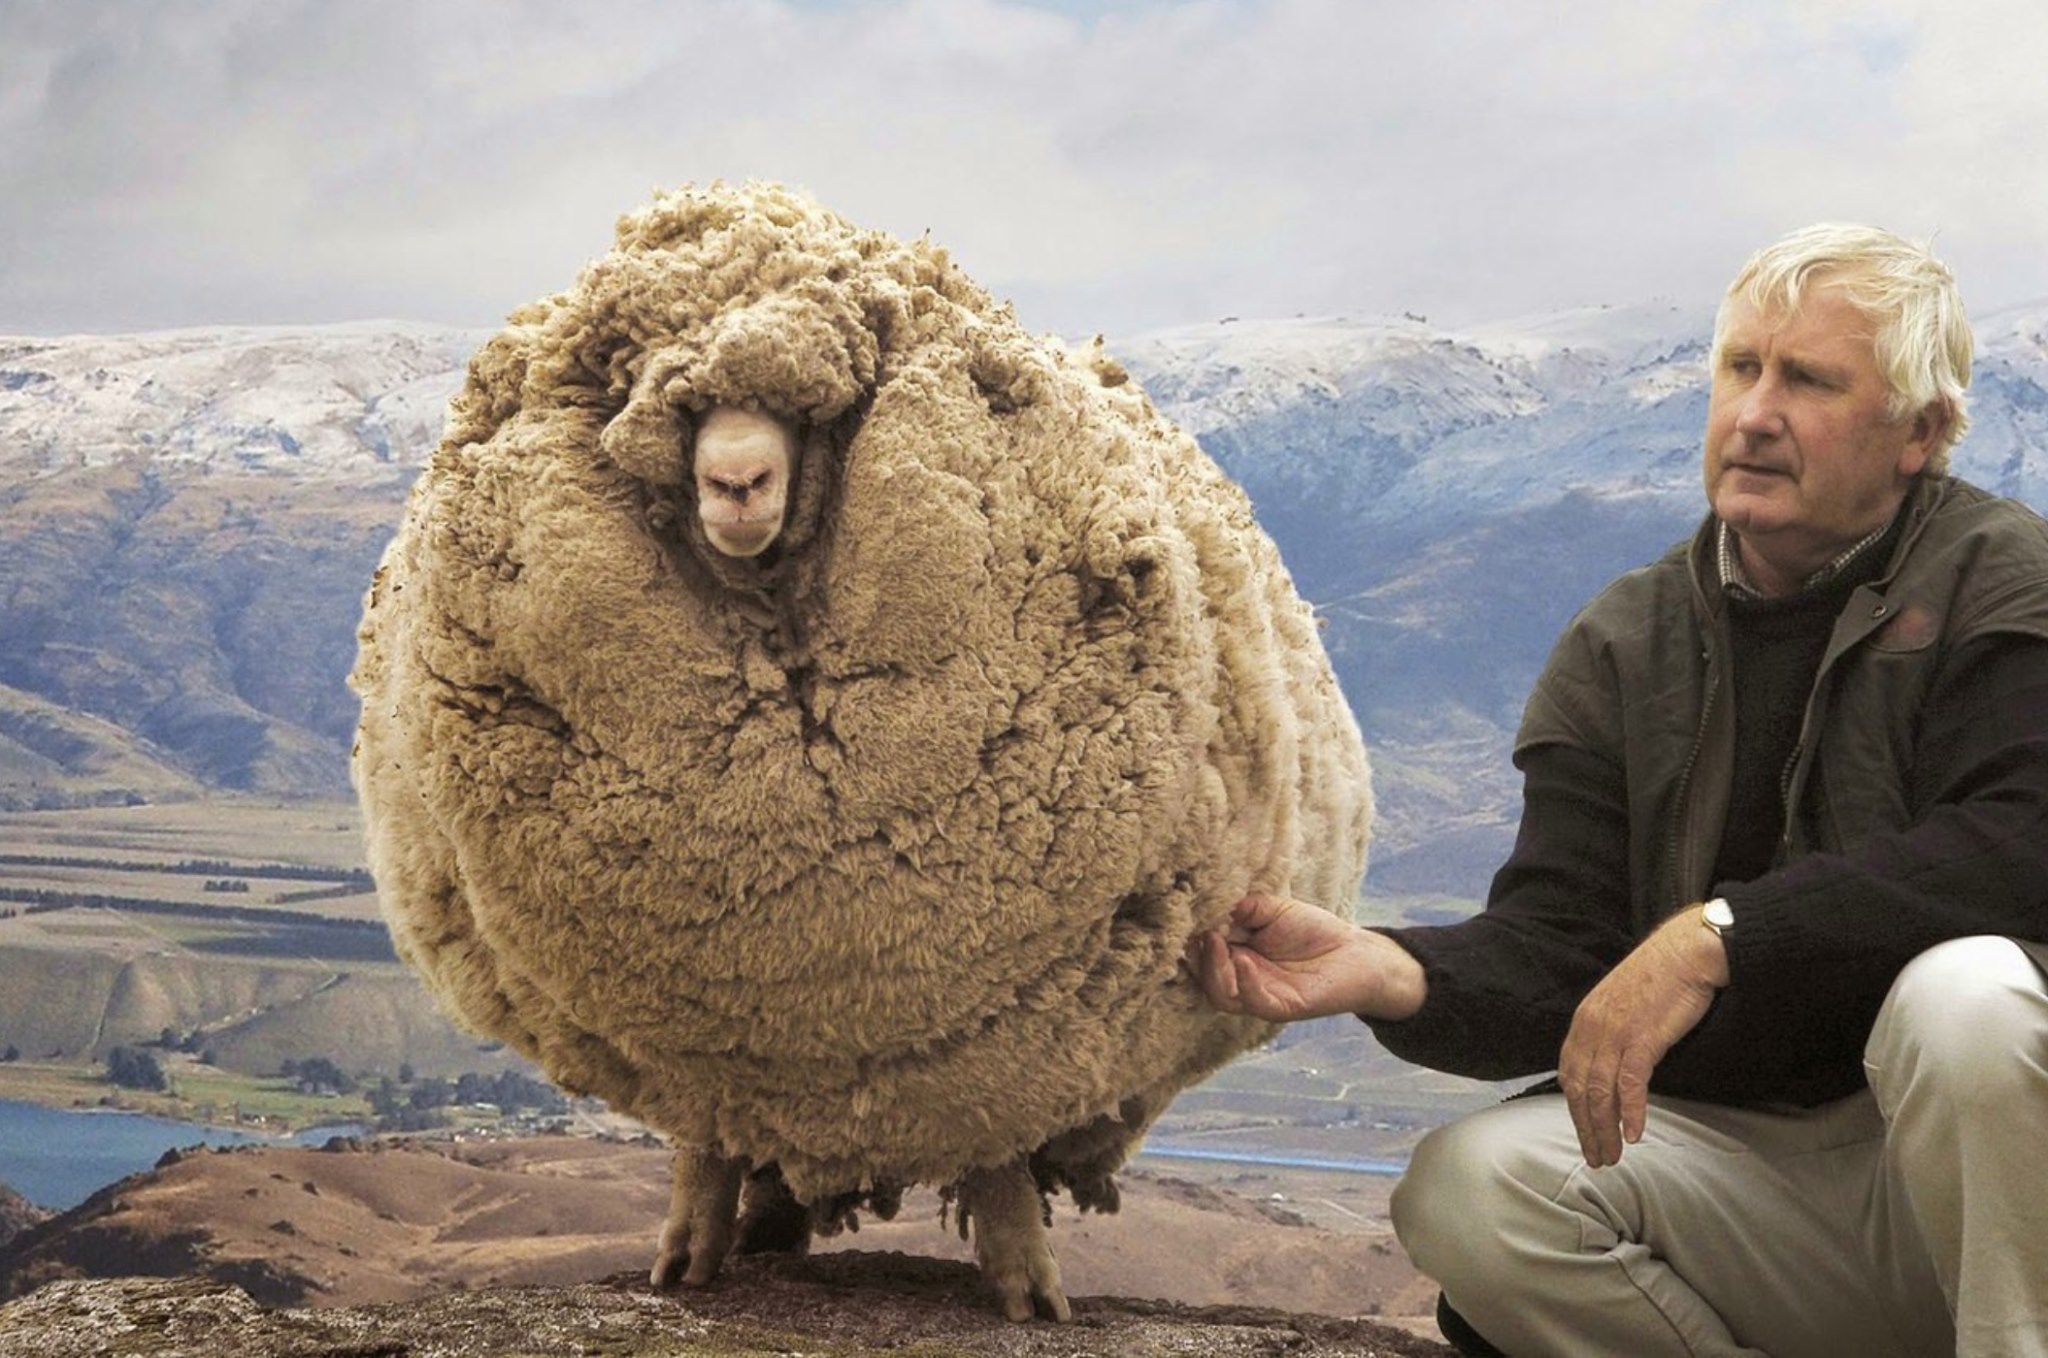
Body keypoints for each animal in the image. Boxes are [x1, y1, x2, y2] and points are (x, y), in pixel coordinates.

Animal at [349, 180, 1372, 1323]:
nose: (737, 481)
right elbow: (703, 1140)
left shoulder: (1021, 1029)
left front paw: (1024, 1280)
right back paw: (757, 1225)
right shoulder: (700, 1039)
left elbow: (998, 1155)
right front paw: (687, 1252)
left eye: (809, 418)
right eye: (675, 410)